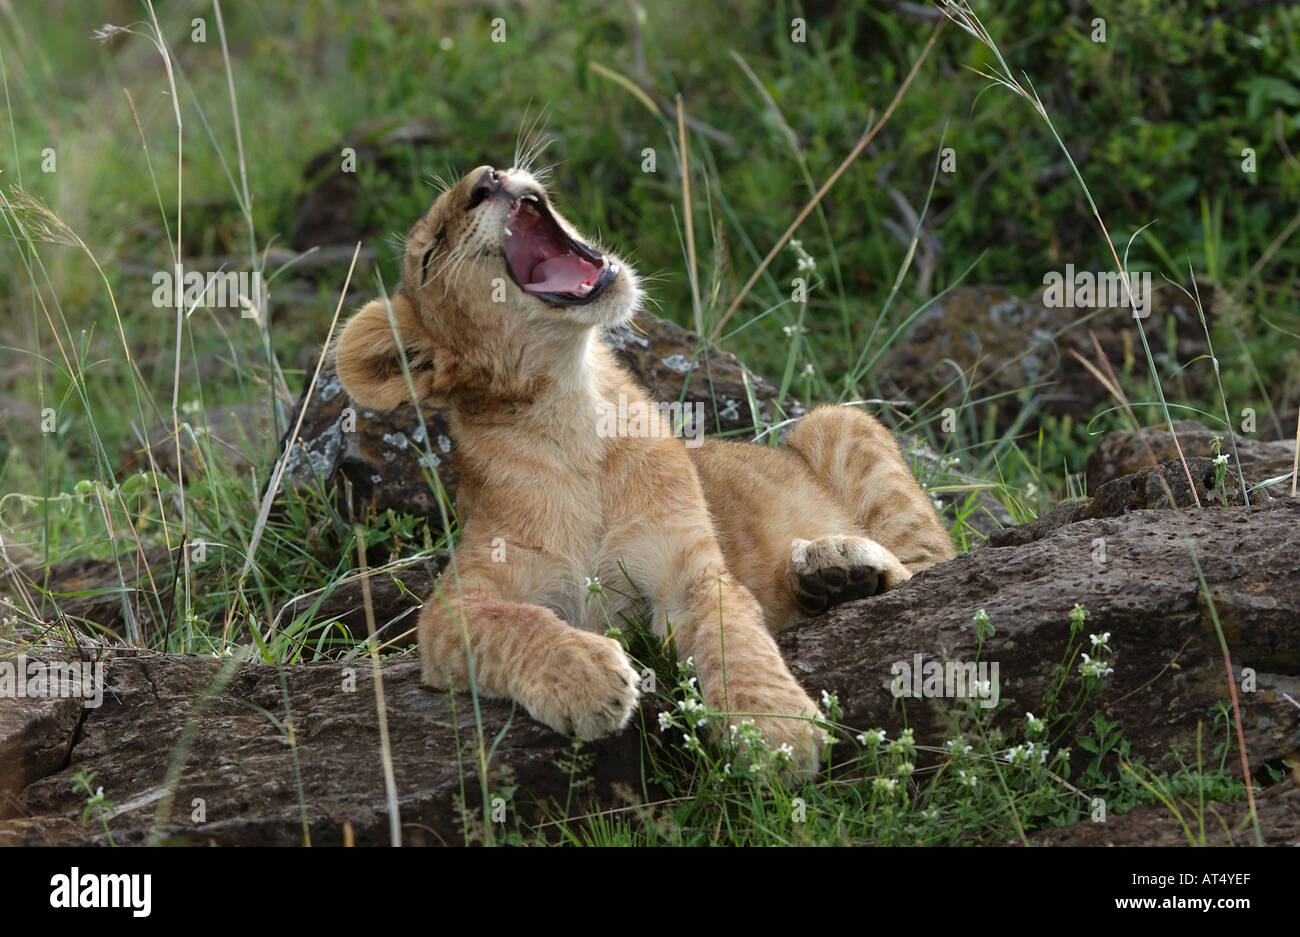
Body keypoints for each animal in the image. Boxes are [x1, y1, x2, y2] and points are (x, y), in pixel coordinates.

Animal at [333, 165, 955, 775]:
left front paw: (774, 732)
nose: (487, 178)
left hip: (831, 423)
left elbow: (733, 638)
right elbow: (513, 625)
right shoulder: (450, 610)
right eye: (432, 251)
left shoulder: (689, 570)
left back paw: (838, 563)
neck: (574, 408)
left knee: (932, 567)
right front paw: (585, 676)